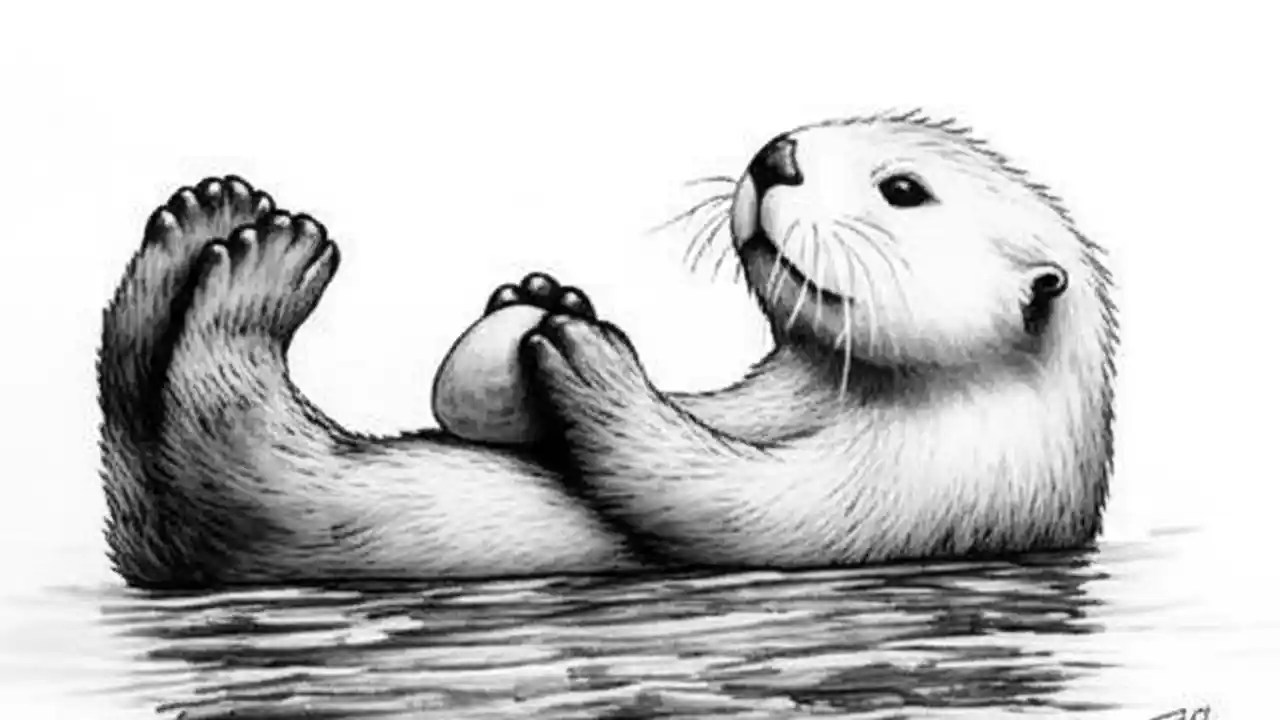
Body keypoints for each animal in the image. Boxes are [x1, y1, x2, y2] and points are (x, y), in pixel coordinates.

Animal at [98, 111, 1117, 588]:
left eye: (902, 188)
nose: (777, 154)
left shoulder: (929, 486)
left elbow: (727, 506)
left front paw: (591, 364)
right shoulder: (764, 401)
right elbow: (709, 418)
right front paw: (546, 300)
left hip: (273, 493)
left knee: (210, 416)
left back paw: (261, 265)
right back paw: (204, 222)